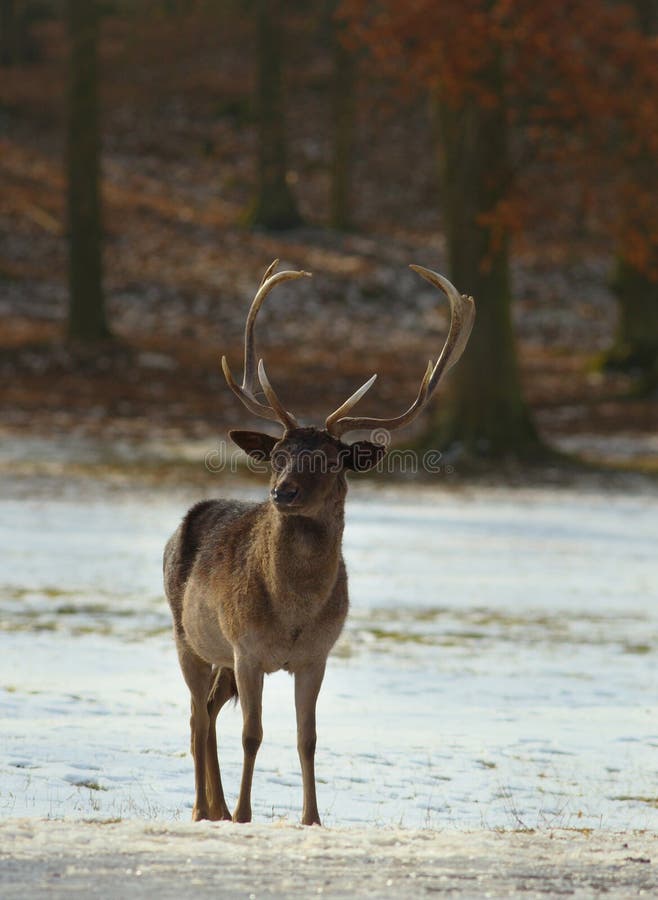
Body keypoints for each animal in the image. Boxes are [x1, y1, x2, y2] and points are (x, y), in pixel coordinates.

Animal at [163, 260, 475, 825]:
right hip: (186, 635)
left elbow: (307, 738)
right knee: (198, 716)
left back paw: (215, 808)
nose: (281, 492)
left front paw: (311, 818)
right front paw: (246, 815)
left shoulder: (316, 656)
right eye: (278, 455)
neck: (293, 614)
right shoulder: (247, 648)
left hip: (216, 653)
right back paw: (203, 809)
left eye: (330, 459)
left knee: (211, 711)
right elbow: (253, 734)